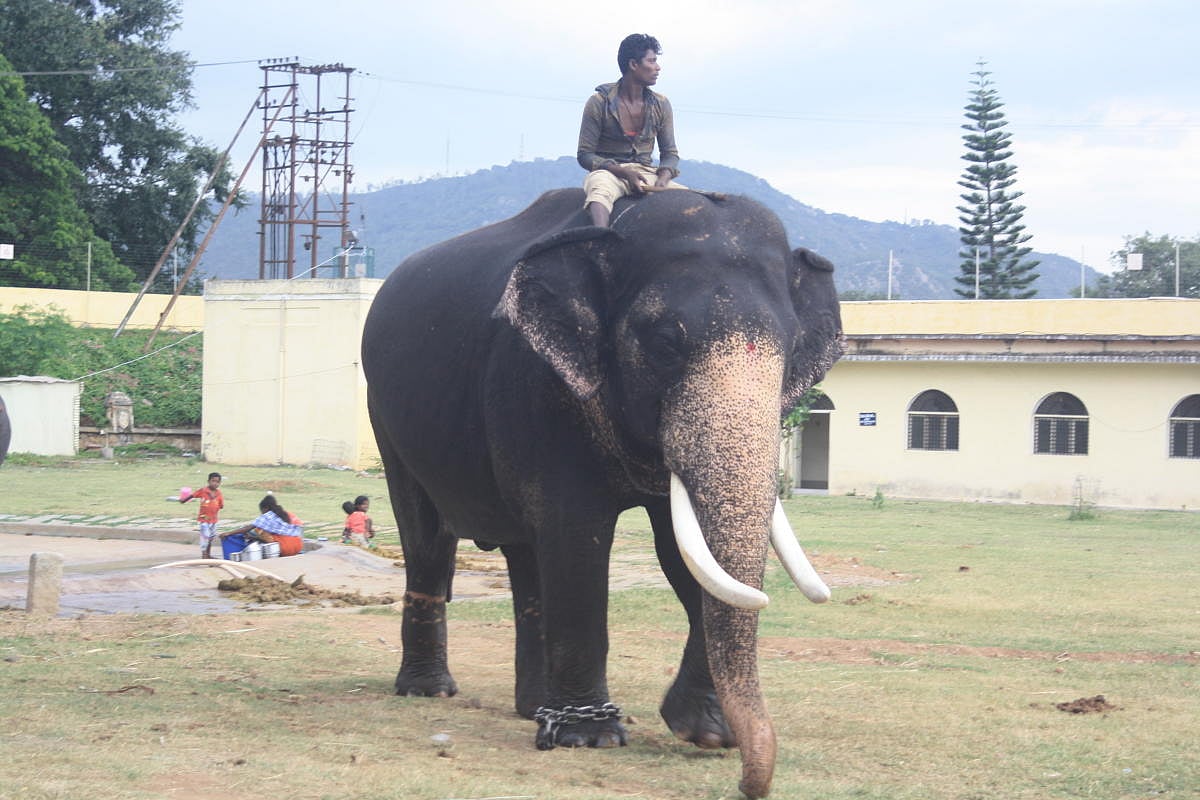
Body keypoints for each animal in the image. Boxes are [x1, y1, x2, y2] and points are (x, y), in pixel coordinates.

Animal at [361, 186, 843, 799]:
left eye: (791, 348)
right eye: (665, 343)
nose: (748, 785)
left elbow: (681, 554)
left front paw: (704, 733)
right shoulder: (540, 384)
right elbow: (576, 532)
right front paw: (590, 738)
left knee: (526, 550)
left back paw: (534, 709)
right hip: (387, 419)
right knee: (426, 536)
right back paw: (431, 690)